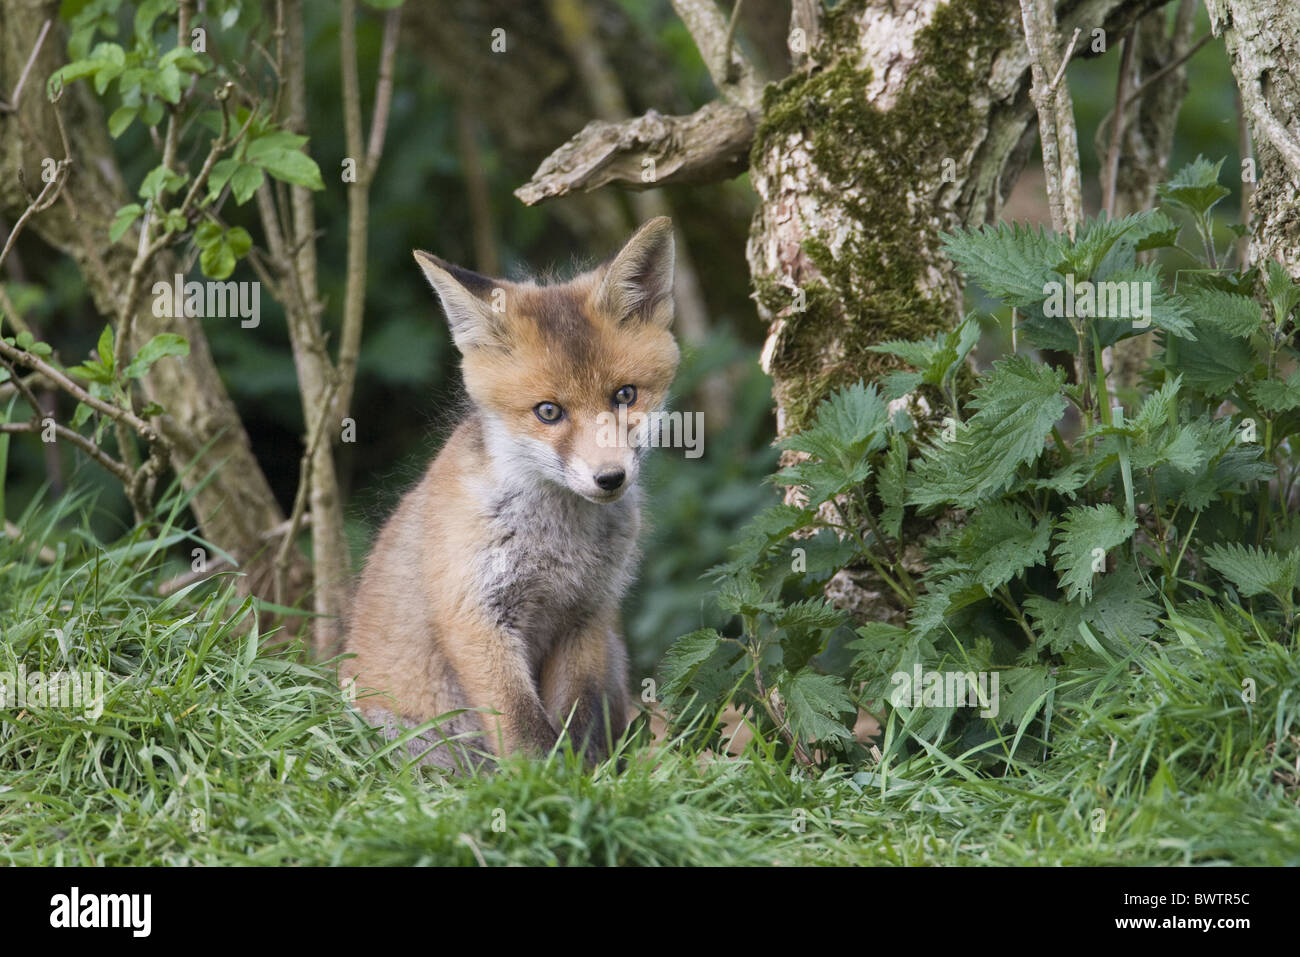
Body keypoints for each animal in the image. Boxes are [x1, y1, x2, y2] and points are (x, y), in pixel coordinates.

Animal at [341, 217, 680, 773]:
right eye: (548, 412)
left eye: (625, 395)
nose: (610, 478)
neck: (558, 542)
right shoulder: (476, 615)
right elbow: (524, 729)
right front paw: (542, 785)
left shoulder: (587, 615)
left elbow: (577, 721)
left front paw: (587, 779)